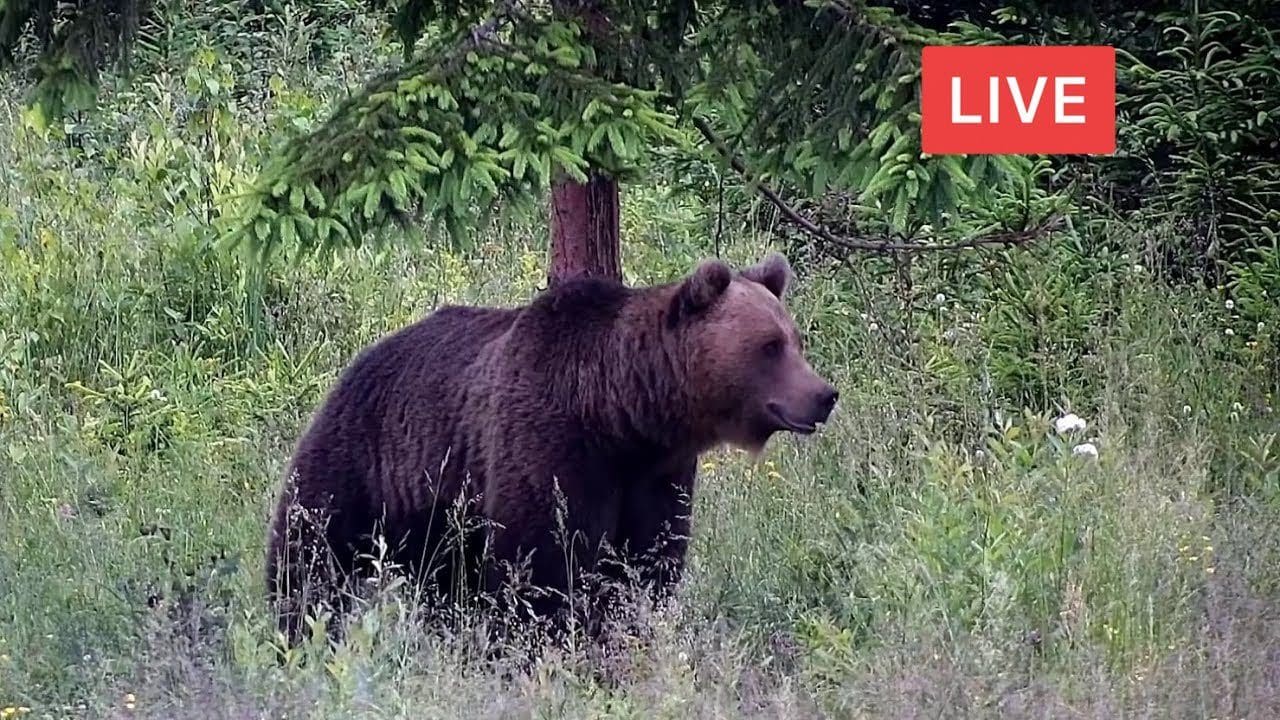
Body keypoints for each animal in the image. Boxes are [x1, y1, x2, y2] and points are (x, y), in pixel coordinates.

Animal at [264, 252, 838, 646]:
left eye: (796, 340)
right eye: (769, 346)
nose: (824, 395)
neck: (620, 412)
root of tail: (365, 355)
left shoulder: (658, 473)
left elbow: (649, 562)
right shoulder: (552, 445)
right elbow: (540, 566)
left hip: (443, 518)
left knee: (444, 588)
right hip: (369, 458)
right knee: (311, 551)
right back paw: (295, 634)